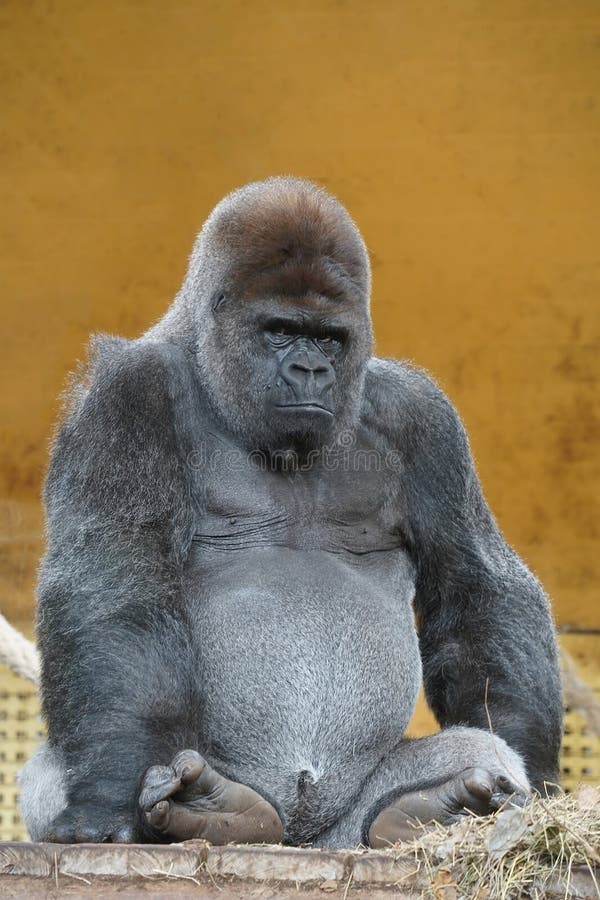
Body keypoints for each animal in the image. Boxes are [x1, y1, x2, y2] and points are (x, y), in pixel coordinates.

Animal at [19, 177, 562, 849]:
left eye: (328, 338)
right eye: (280, 331)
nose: (311, 370)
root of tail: (292, 835)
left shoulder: (424, 418)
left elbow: (477, 583)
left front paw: (544, 784)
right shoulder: (125, 396)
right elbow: (114, 583)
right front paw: (104, 801)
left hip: (337, 833)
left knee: (474, 753)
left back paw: (432, 803)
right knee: (56, 763)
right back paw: (218, 809)